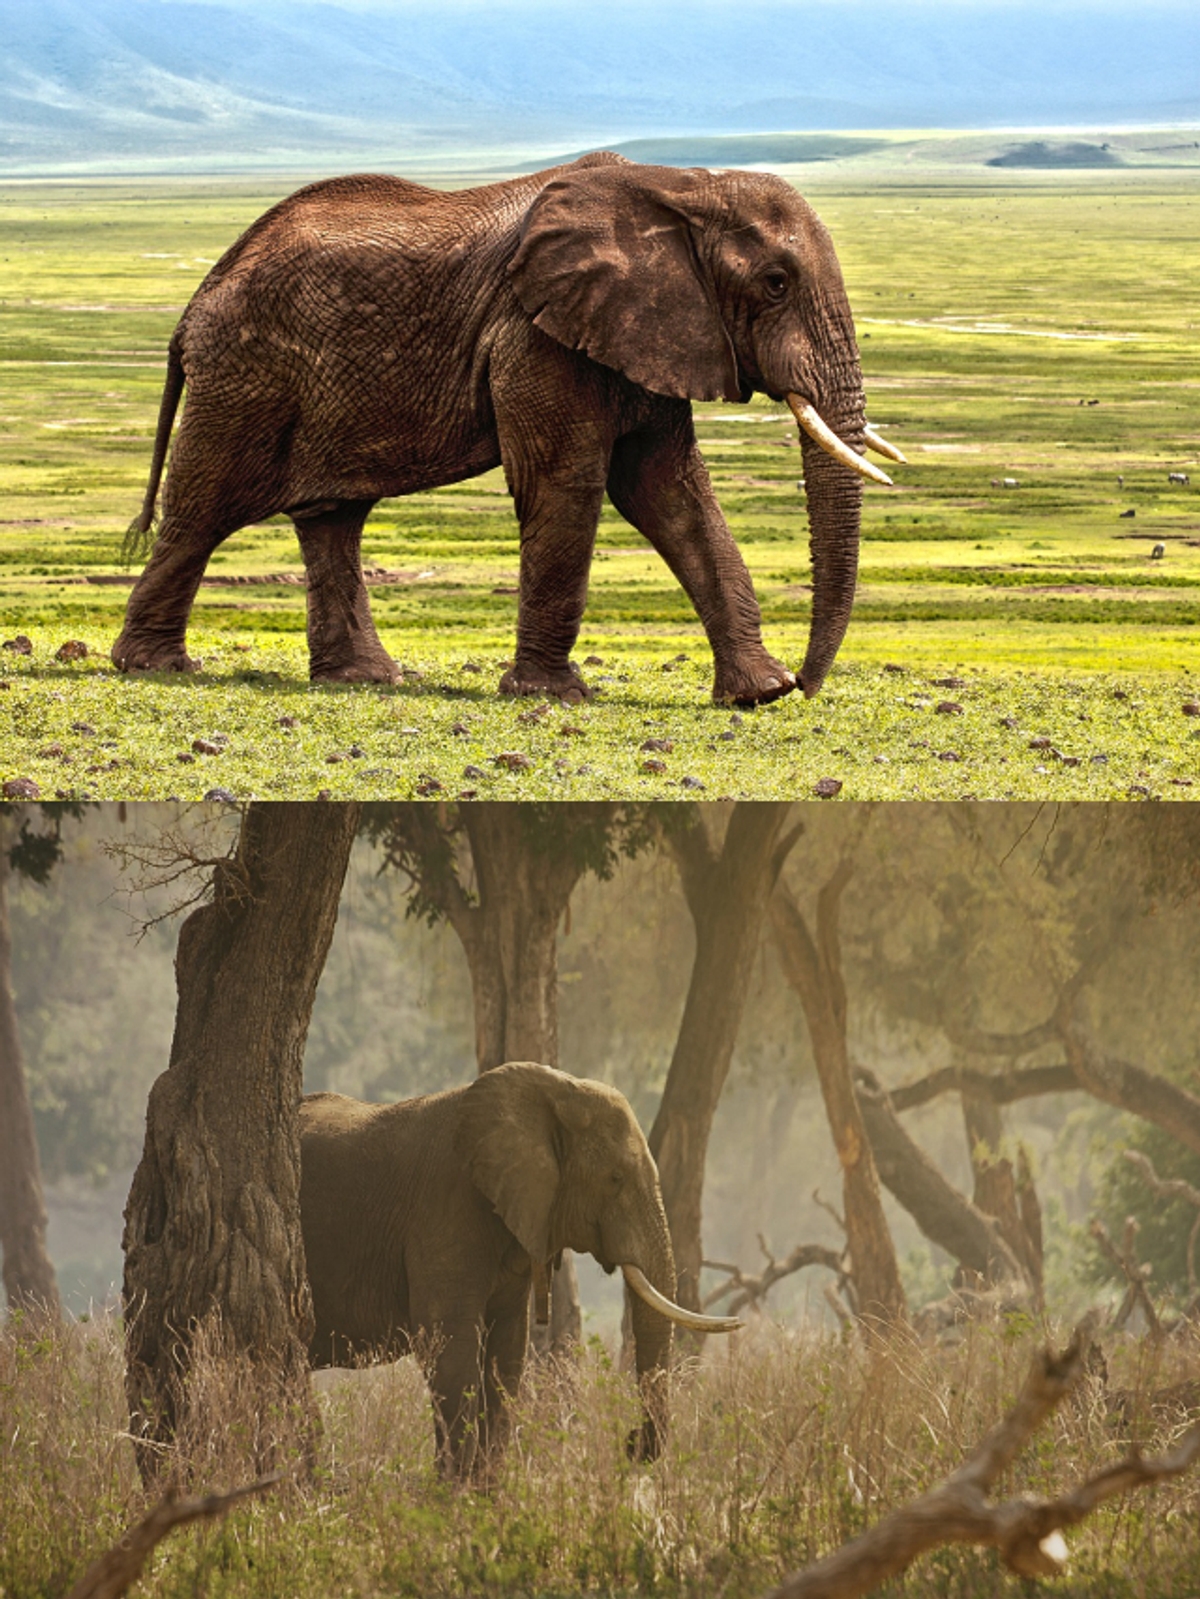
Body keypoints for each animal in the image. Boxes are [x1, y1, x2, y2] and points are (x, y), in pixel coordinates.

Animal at [113, 153, 903, 705]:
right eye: (776, 283)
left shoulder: (648, 333)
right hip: (244, 374)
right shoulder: (534, 335)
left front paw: (757, 695)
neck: (680, 185)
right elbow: (568, 484)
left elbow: (670, 493)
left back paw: (364, 681)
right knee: (204, 508)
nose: (807, 684)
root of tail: (195, 302)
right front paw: (555, 697)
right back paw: (155, 667)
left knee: (332, 518)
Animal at [297, 1061, 738, 1477]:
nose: (632, 1444)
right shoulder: (445, 1209)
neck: (553, 1092)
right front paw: (453, 1494)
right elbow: (449, 1345)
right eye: (615, 1178)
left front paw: (484, 1492)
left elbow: (507, 1349)